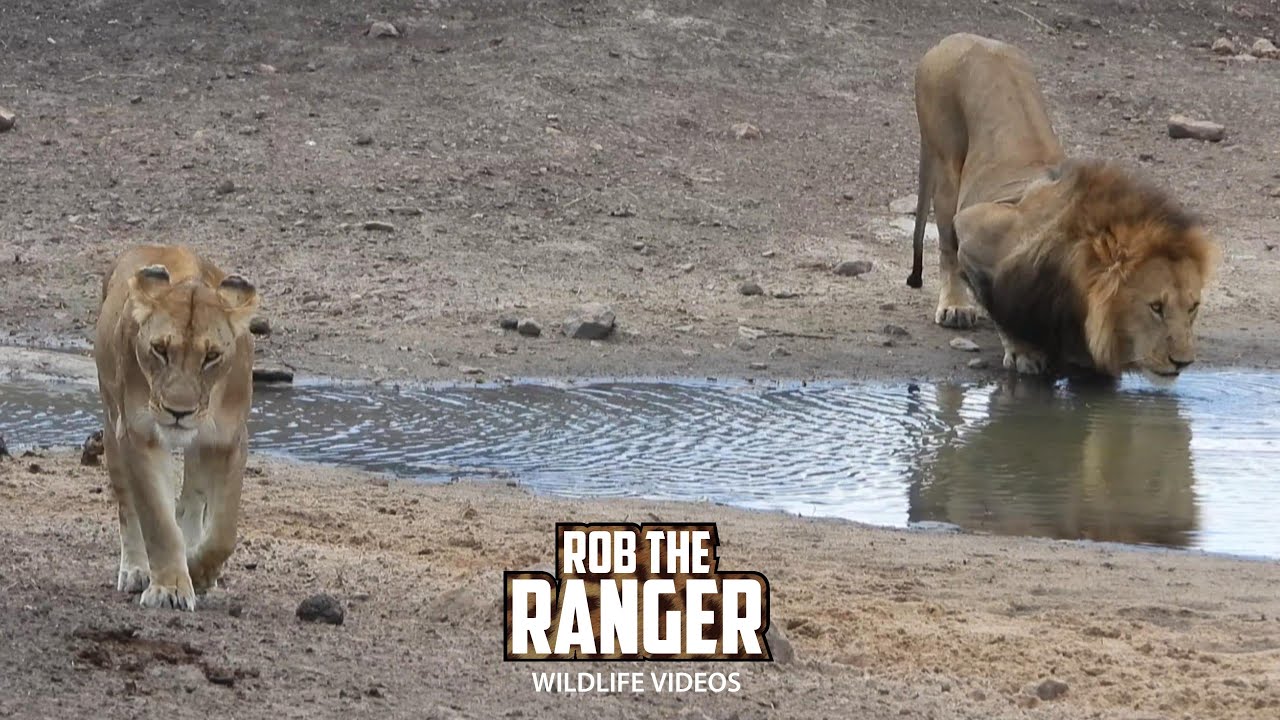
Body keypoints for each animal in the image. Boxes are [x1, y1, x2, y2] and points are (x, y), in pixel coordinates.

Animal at [94, 245, 258, 610]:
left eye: (211, 356)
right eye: (160, 349)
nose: (178, 412)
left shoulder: (228, 439)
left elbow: (223, 533)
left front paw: (199, 573)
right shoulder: (138, 436)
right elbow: (158, 521)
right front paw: (170, 587)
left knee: (193, 499)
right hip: (112, 427)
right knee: (128, 508)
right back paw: (137, 570)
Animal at [906, 33, 1217, 379]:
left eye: (1193, 307)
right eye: (1156, 307)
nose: (1183, 362)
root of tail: (956, 38)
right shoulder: (979, 232)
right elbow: (1004, 305)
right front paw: (1025, 352)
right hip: (946, 166)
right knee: (947, 245)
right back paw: (956, 306)